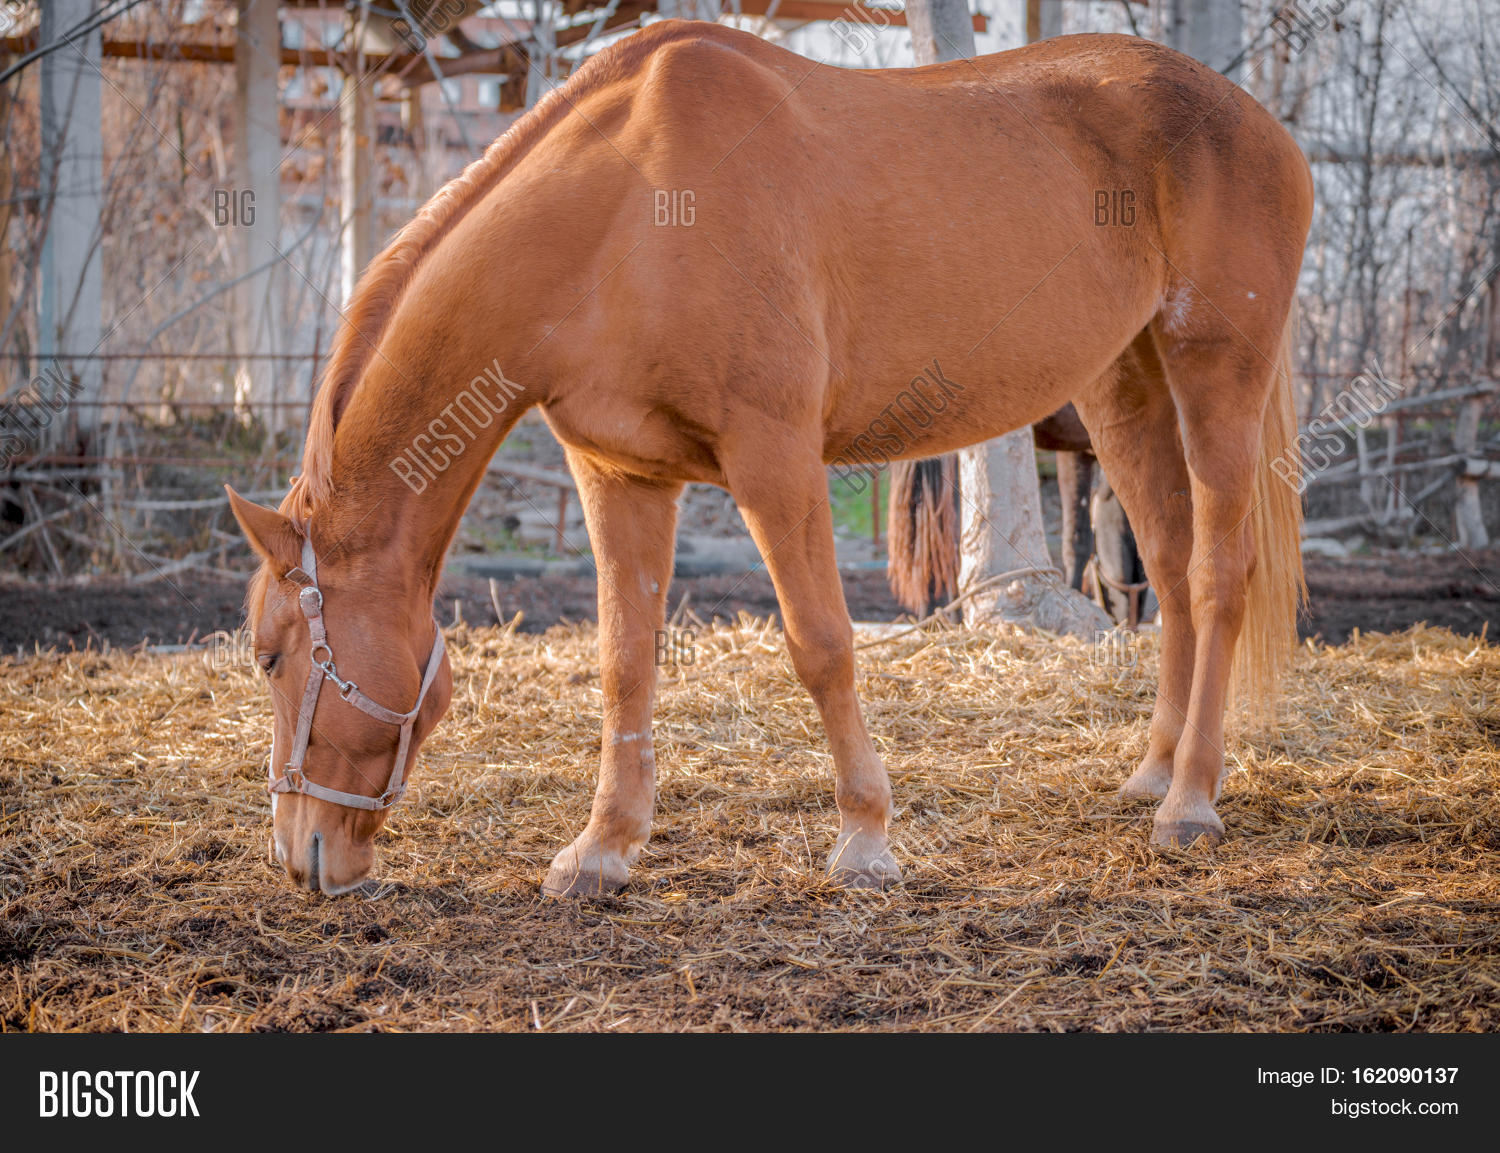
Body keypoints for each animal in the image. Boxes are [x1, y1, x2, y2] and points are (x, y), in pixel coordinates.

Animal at [227, 20, 1310, 895]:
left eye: (272, 655)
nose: (298, 856)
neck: (624, 211)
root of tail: (1269, 130)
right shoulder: (621, 477)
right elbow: (625, 661)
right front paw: (604, 849)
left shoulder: (774, 458)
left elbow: (822, 644)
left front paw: (865, 840)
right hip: (1122, 386)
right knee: (1169, 567)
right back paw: (1154, 770)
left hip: (1216, 373)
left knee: (1217, 575)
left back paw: (1191, 801)